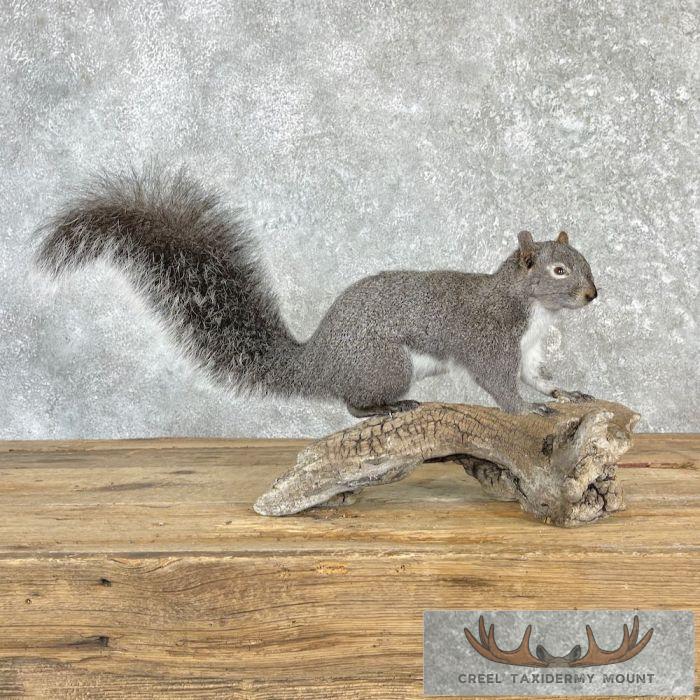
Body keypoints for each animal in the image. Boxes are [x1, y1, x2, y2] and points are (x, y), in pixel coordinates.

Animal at [36, 167, 598, 418]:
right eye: (558, 270)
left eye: (585, 262)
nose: (594, 295)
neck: (534, 310)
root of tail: (319, 361)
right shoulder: (489, 340)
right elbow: (500, 383)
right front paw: (527, 411)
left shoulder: (528, 349)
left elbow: (536, 376)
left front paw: (563, 394)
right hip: (385, 365)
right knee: (351, 405)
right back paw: (390, 408)